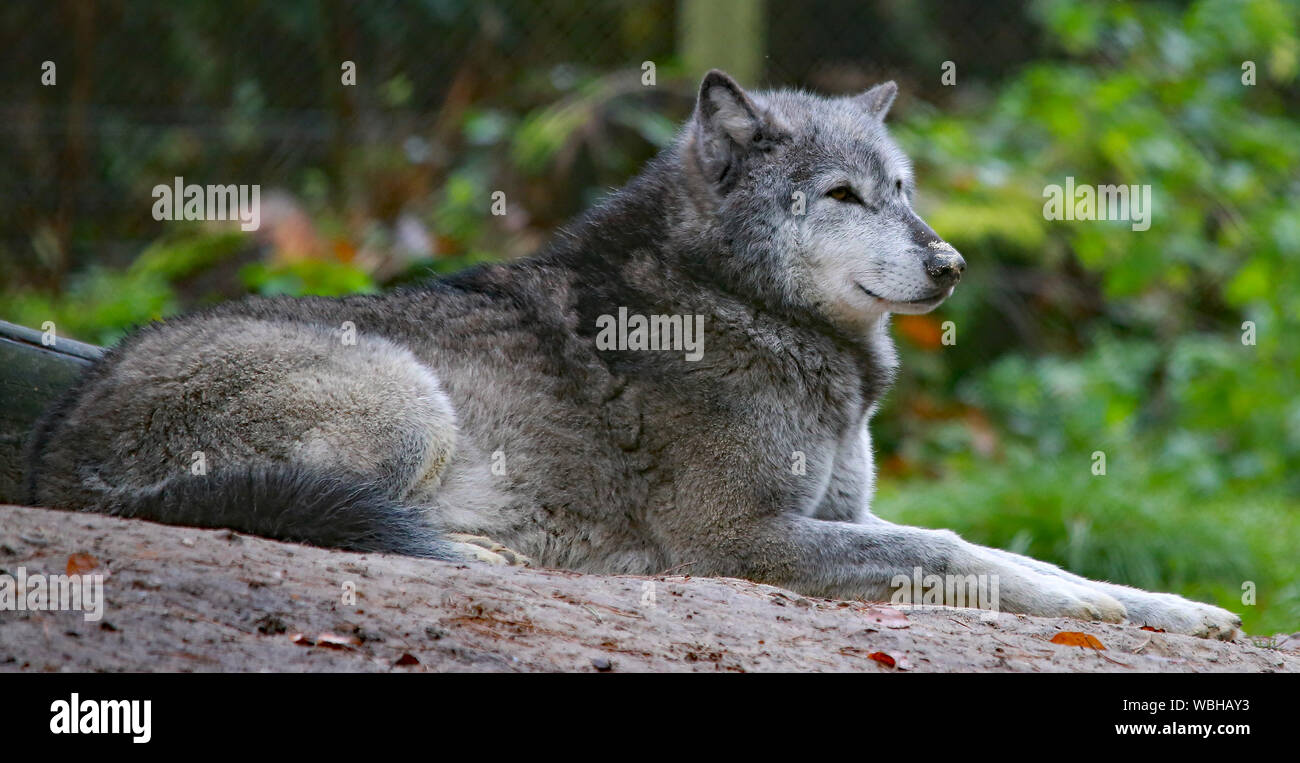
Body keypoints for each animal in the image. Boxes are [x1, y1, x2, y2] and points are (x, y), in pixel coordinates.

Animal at [25, 70, 1241, 639]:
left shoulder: (840, 513)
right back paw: (494, 557)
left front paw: (1163, 609)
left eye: (901, 189)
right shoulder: (743, 539)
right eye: (840, 197)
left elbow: (1005, 554)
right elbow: (952, 549)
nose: (948, 262)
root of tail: (54, 446)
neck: (737, 304)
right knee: (308, 516)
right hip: (405, 396)